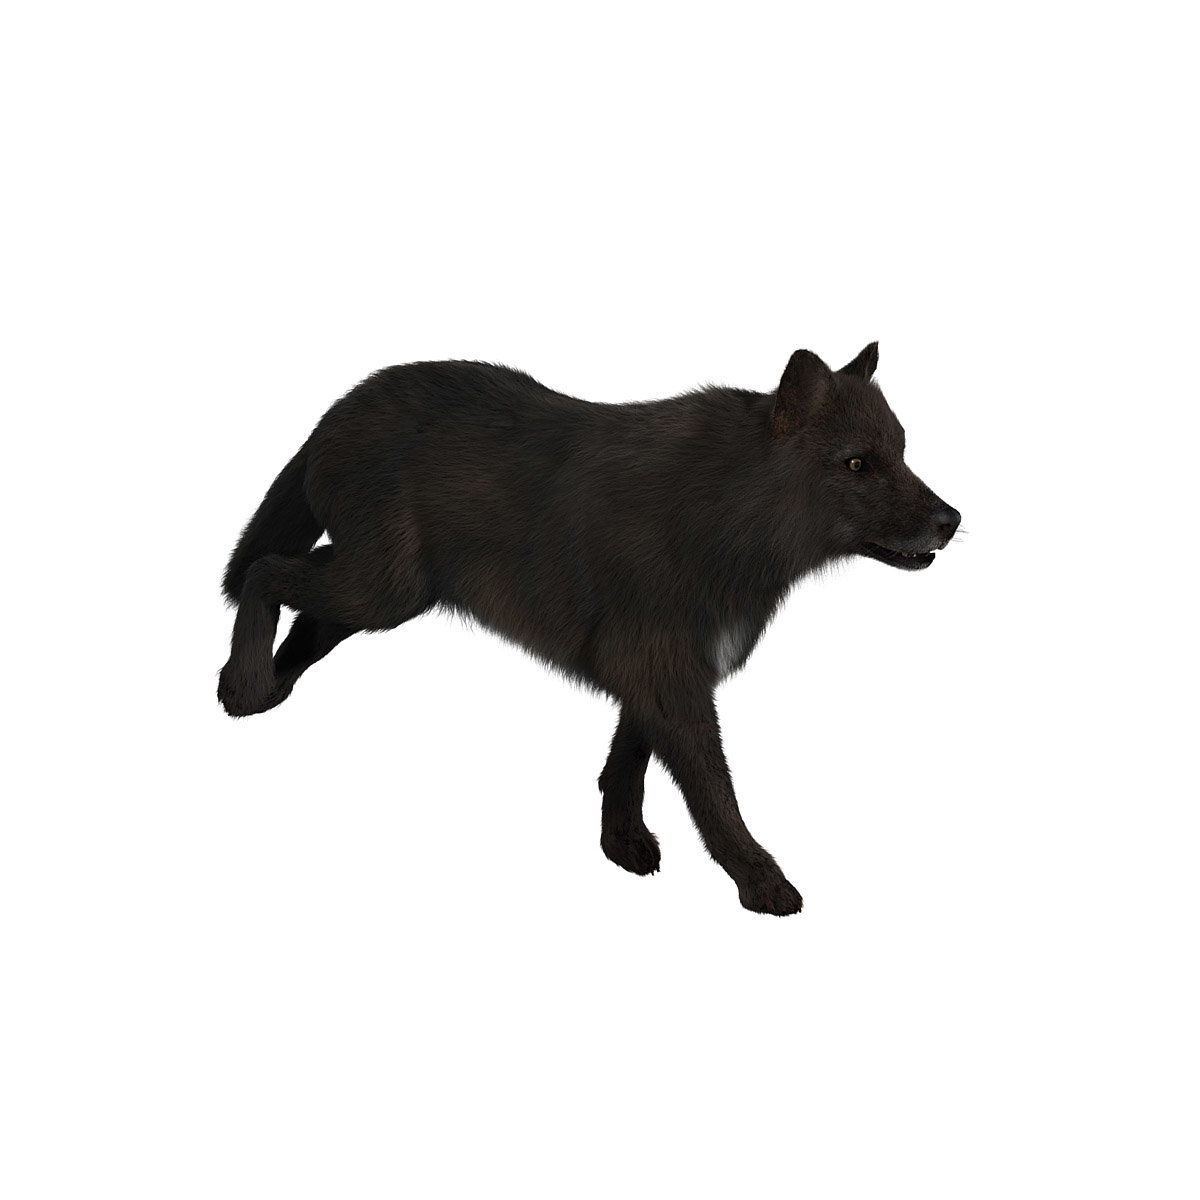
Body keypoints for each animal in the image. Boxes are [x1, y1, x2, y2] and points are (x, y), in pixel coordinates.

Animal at [218, 343, 959, 915]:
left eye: (901, 452)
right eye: (858, 463)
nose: (951, 521)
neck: (729, 510)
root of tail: (340, 407)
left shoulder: (655, 673)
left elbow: (626, 765)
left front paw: (621, 843)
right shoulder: (670, 677)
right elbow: (714, 796)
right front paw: (760, 881)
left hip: (384, 597)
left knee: (301, 611)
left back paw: (265, 686)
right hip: (381, 590)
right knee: (262, 571)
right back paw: (242, 687)